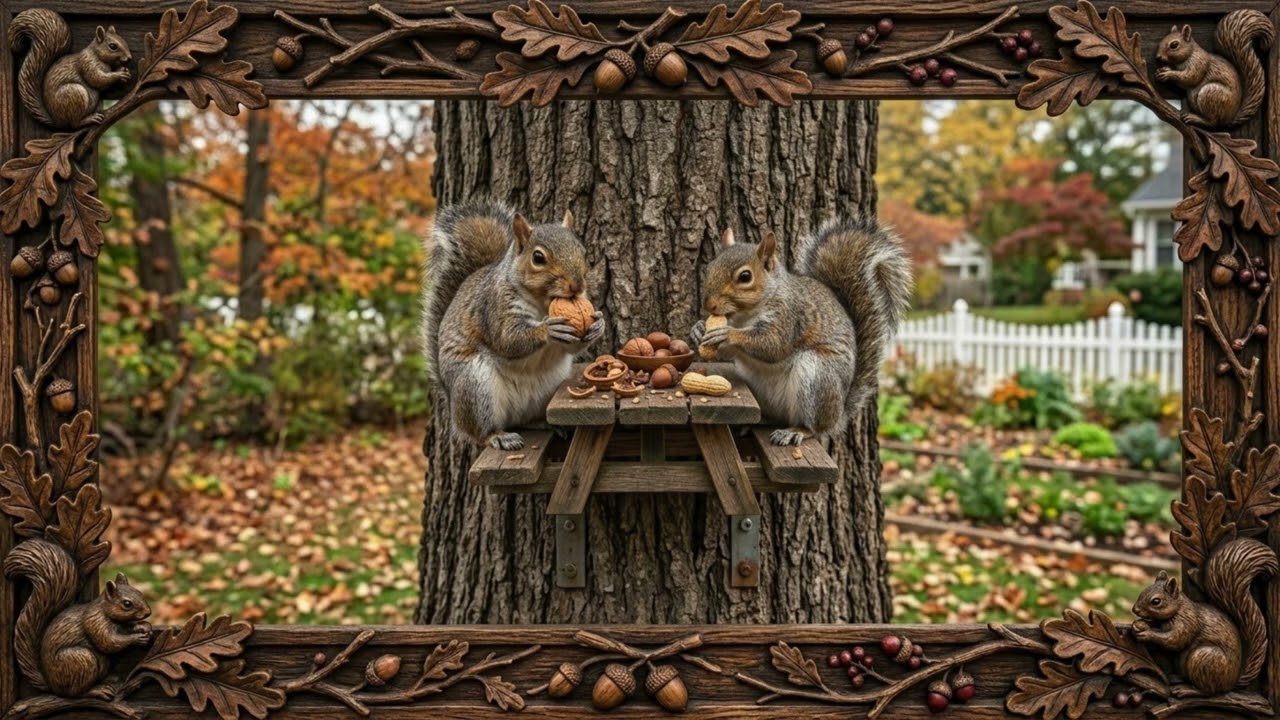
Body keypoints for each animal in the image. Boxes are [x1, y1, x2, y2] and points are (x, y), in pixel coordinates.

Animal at [3, 539, 152, 699]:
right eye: (127, 604)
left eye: (139, 592)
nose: (148, 612)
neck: (105, 611)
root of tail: (52, 685)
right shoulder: (94, 622)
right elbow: (108, 641)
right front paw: (136, 638)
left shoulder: (118, 623)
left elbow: (124, 628)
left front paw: (143, 626)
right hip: (81, 660)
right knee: (76, 692)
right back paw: (97, 690)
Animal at [422, 201, 604, 450]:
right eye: (538, 258)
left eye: (583, 252)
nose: (577, 285)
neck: (543, 303)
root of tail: (451, 401)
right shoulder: (494, 307)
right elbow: (507, 339)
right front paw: (548, 330)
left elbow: (573, 345)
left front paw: (598, 324)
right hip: (474, 384)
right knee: (478, 431)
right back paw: (498, 436)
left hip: (550, 388)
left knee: (528, 420)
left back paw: (548, 424)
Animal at [691, 219, 911, 446]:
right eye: (710, 267)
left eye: (745, 276)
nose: (708, 304)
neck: (745, 316)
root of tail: (838, 416)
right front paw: (698, 329)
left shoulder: (789, 316)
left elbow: (772, 346)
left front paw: (727, 334)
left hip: (817, 376)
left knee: (815, 428)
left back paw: (796, 431)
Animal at [1131, 537, 1278, 697]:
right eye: (1143, 591)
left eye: (1156, 601)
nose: (1135, 609)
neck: (1178, 609)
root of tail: (1230, 683)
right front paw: (1140, 624)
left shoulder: (1188, 621)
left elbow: (1175, 639)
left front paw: (1147, 633)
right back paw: (1177, 679)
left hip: (1204, 658)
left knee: (1207, 691)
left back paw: (1187, 689)